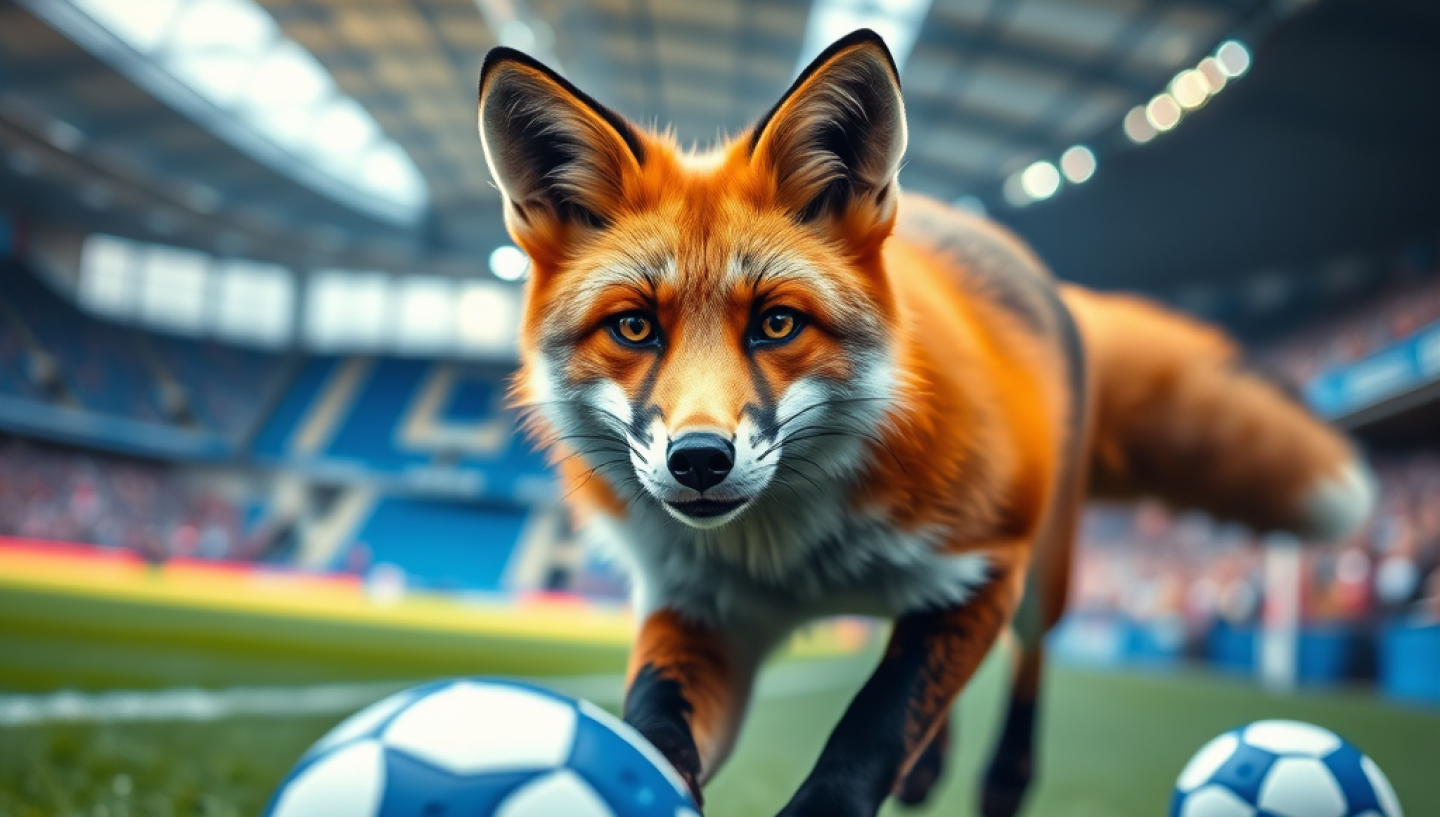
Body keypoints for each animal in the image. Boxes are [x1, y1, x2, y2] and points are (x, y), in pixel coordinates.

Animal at [476, 29, 1375, 817]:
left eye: (776, 323)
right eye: (634, 328)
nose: (699, 459)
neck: (790, 561)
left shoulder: (983, 566)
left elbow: (873, 726)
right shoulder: (696, 606)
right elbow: (652, 732)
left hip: (1046, 566)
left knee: (1030, 657)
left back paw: (1004, 776)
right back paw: (931, 769)